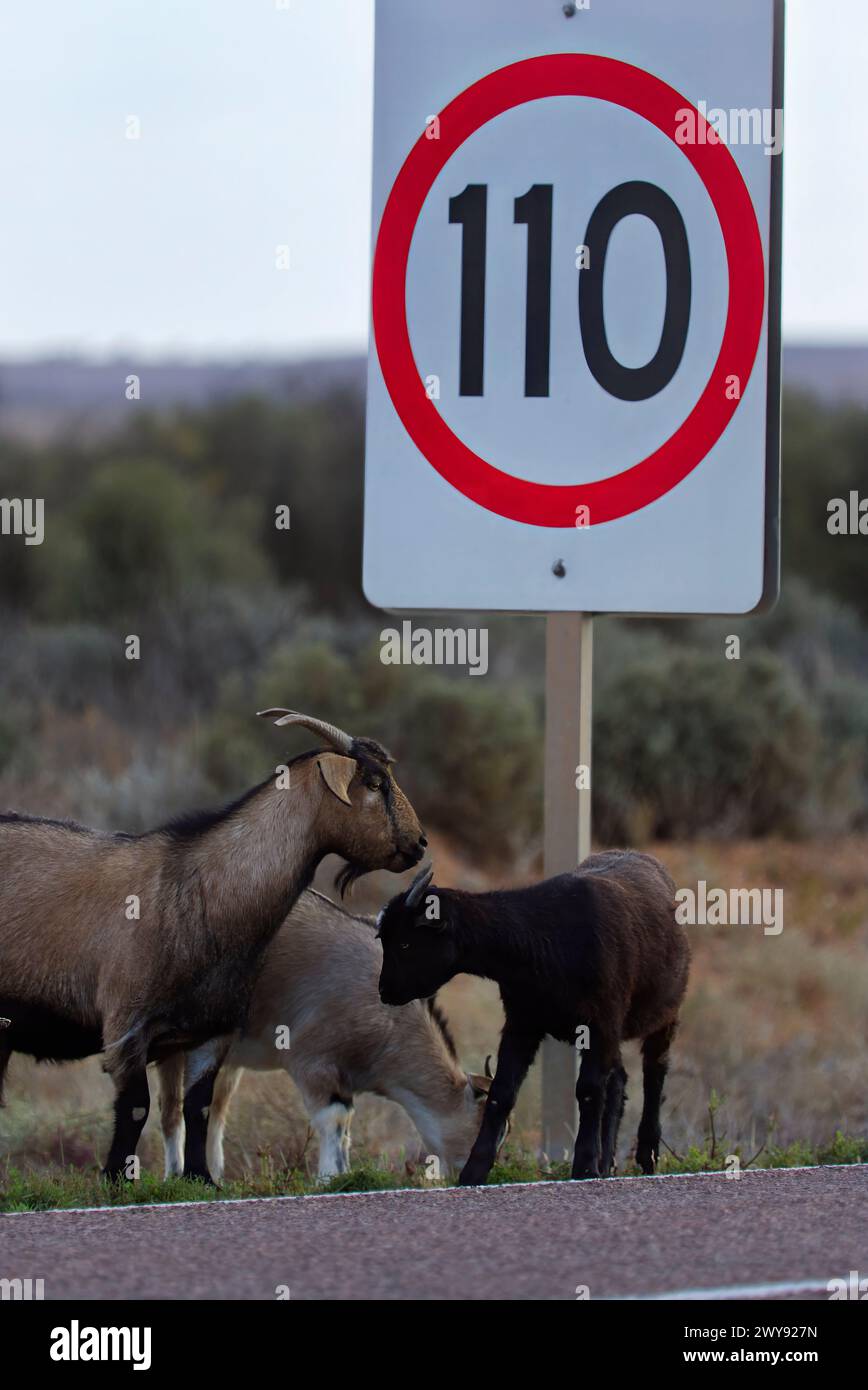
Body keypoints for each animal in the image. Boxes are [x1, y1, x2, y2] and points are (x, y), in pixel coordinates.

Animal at [0, 711, 426, 1181]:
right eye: (374, 782)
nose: (419, 843)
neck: (198, 891)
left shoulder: (212, 1031)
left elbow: (199, 1108)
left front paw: (201, 1177)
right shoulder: (125, 1025)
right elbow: (135, 1108)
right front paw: (117, 1180)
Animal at [156, 888, 495, 1181]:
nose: (474, 1175)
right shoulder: (313, 1064)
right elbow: (334, 1119)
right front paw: (330, 1177)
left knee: (210, 1111)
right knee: (172, 1111)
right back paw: (175, 1175)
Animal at [377, 851, 690, 1186]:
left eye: (406, 943)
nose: (384, 990)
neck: (543, 939)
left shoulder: (600, 1023)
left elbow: (589, 1090)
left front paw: (584, 1168)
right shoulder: (522, 1023)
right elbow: (502, 1092)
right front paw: (473, 1172)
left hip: (664, 1015)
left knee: (654, 1073)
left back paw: (647, 1157)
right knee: (618, 1080)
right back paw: (607, 1163)